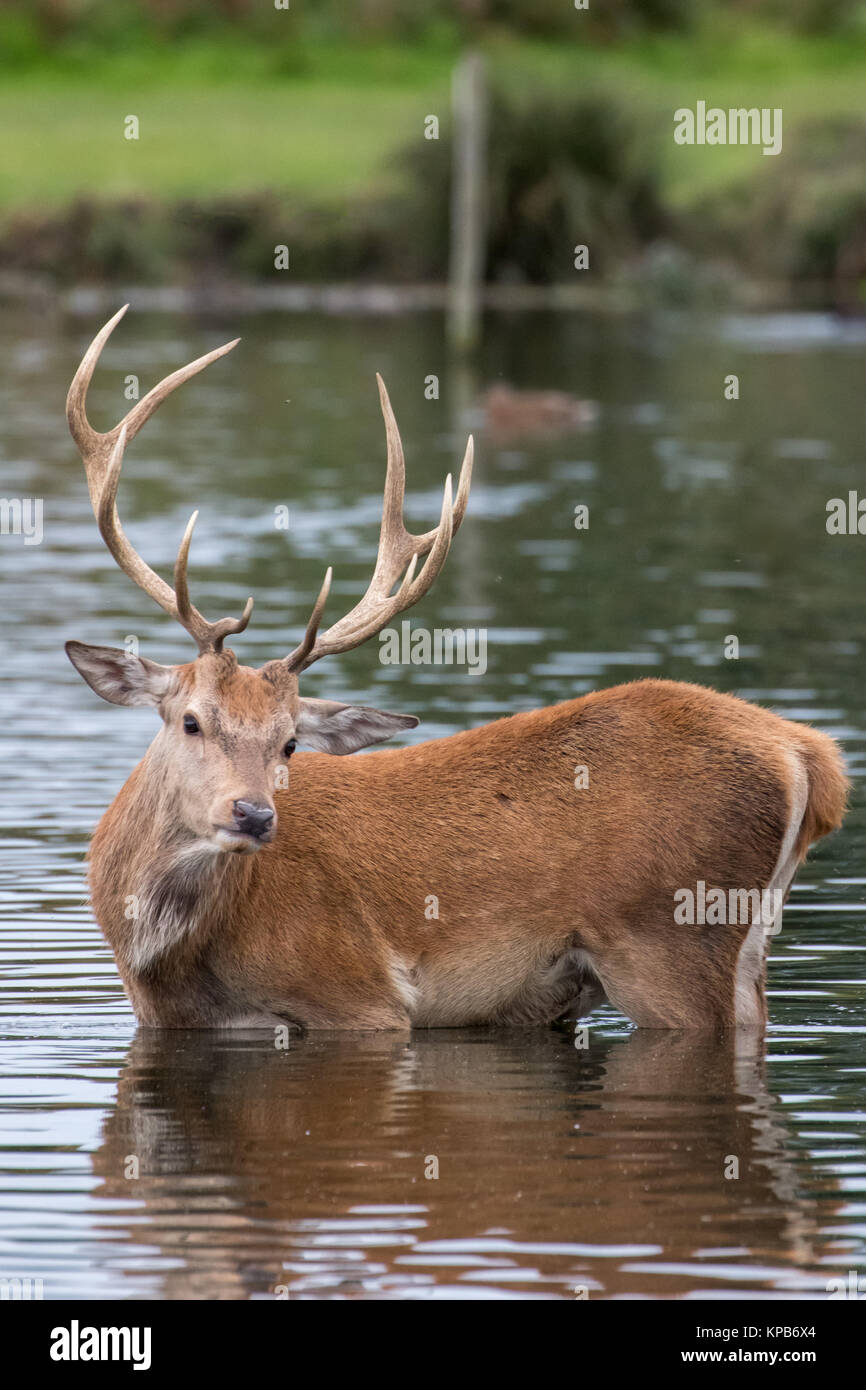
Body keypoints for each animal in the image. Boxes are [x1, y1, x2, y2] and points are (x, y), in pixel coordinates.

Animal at [65, 307, 849, 1033]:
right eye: (191, 721)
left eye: (289, 741)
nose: (254, 814)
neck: (169, 957)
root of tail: (811, 756)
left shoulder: (358, 992)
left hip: (672, 935)